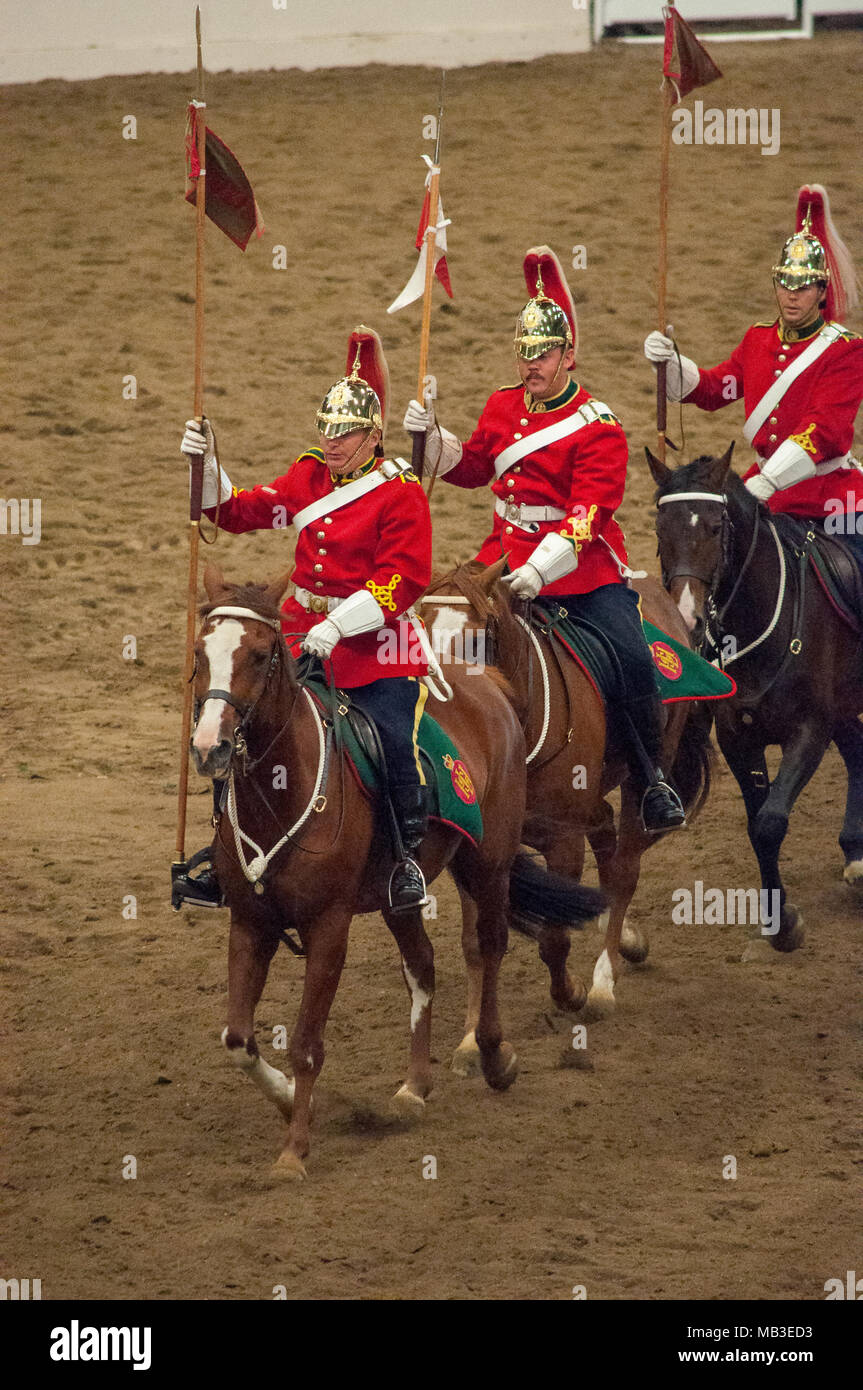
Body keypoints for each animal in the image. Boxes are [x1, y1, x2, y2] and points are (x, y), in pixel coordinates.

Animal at [188, 563, 603, 1177]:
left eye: (261, 655)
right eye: (201, 652)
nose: (209, 747)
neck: (283, 790)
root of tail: (488, 683)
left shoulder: (328, 927)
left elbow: (307, 1043)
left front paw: (294, 1150)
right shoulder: (250, 921)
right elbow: (238, 1039)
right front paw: (286, 1099)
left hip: (488, 863)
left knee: (491, 944)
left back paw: (493, 1055)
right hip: (399, 893)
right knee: (423, 965)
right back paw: (414, 1087)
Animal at [419, 555, 713, 1046]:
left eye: (478, 641)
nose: (450, 713)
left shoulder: (563, 843)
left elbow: (554, 941)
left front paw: (572, 993)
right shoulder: (482, 849)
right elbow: (476, 942)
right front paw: (471, 1037)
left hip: (644, 776)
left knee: (624, 868)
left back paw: (604, 980)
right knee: (607, 837)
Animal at [648, 443, 863, 951]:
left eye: (715, 527)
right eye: (660, 530)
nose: (687, 617)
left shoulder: (810, 730)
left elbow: (770, 822)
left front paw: (785, 926)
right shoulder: (737, 737)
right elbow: (756, 824)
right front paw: (777, 916)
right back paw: (855, 855)